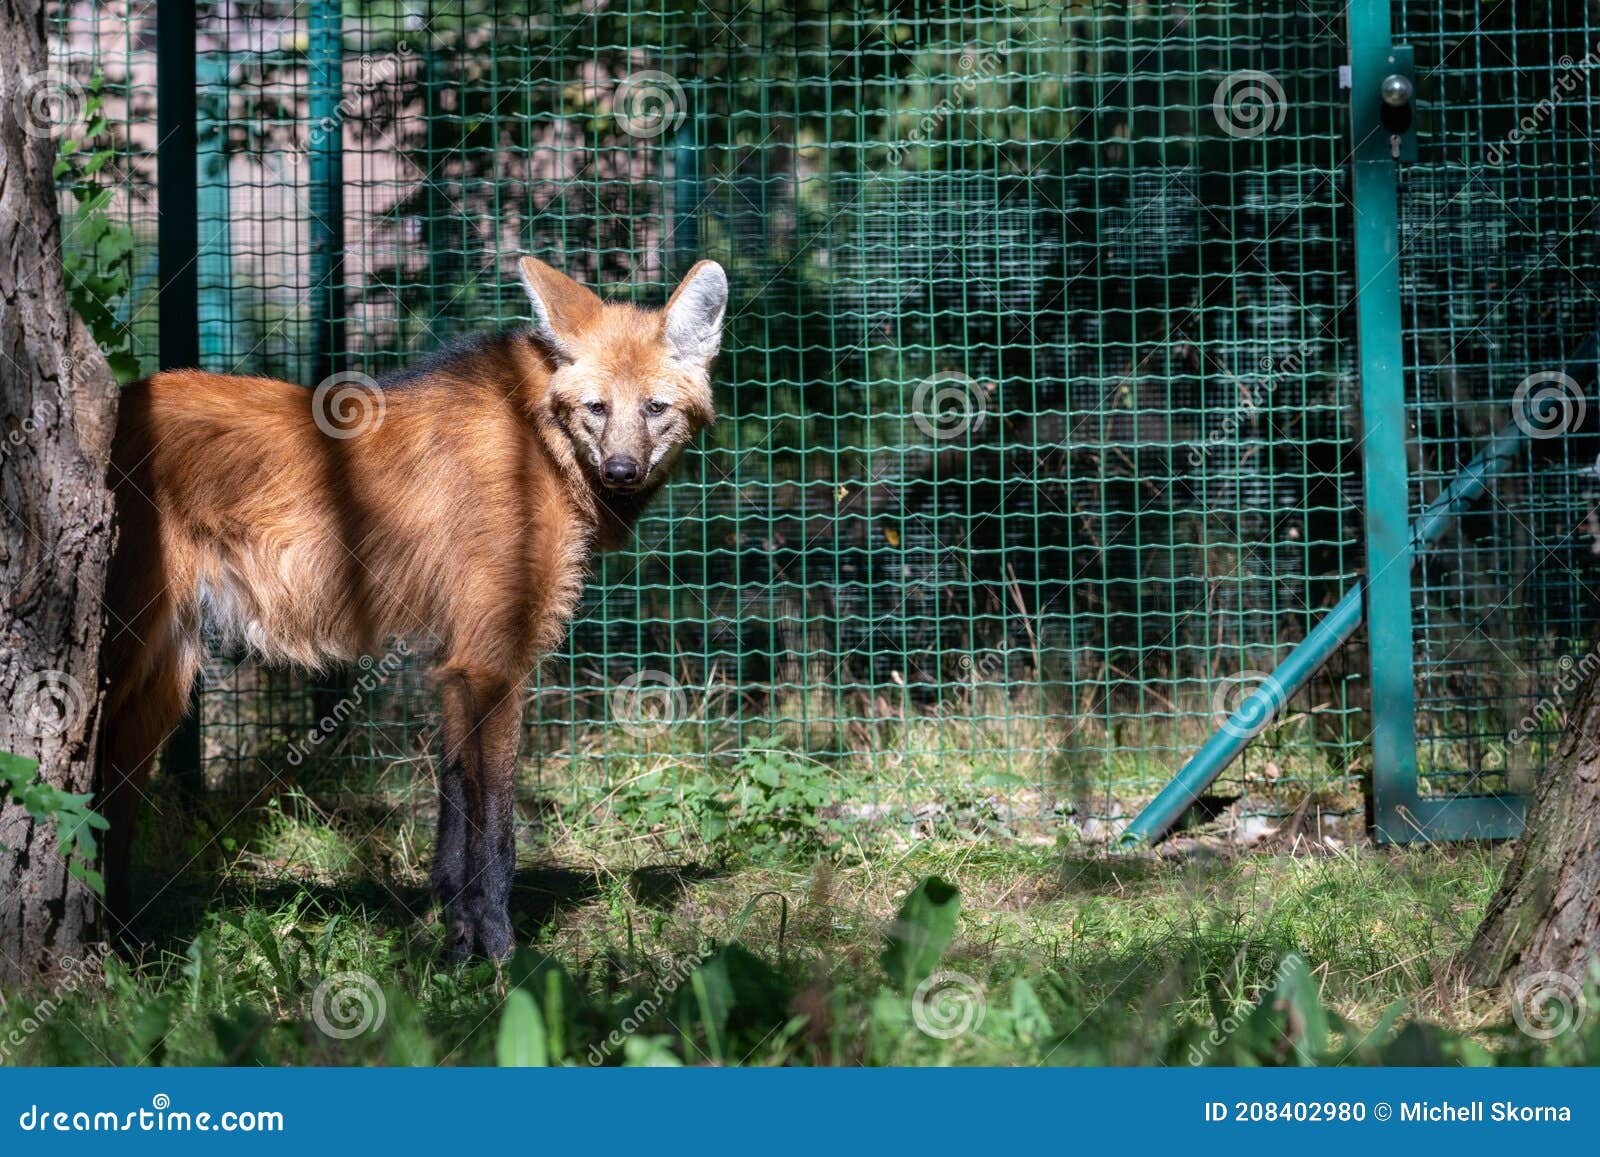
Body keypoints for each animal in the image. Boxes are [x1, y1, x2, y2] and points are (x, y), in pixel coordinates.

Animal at [99, 256, 727, 958]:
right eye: (597, 408)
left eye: (655, 408)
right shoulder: (490, 664)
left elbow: (454, 803)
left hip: (164, 678)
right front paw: (502, 951)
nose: (620, 470)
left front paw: (455, 939)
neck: (541, 441)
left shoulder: (456, 659)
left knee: (114, 795)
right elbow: (495, 824)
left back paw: (124, 941)